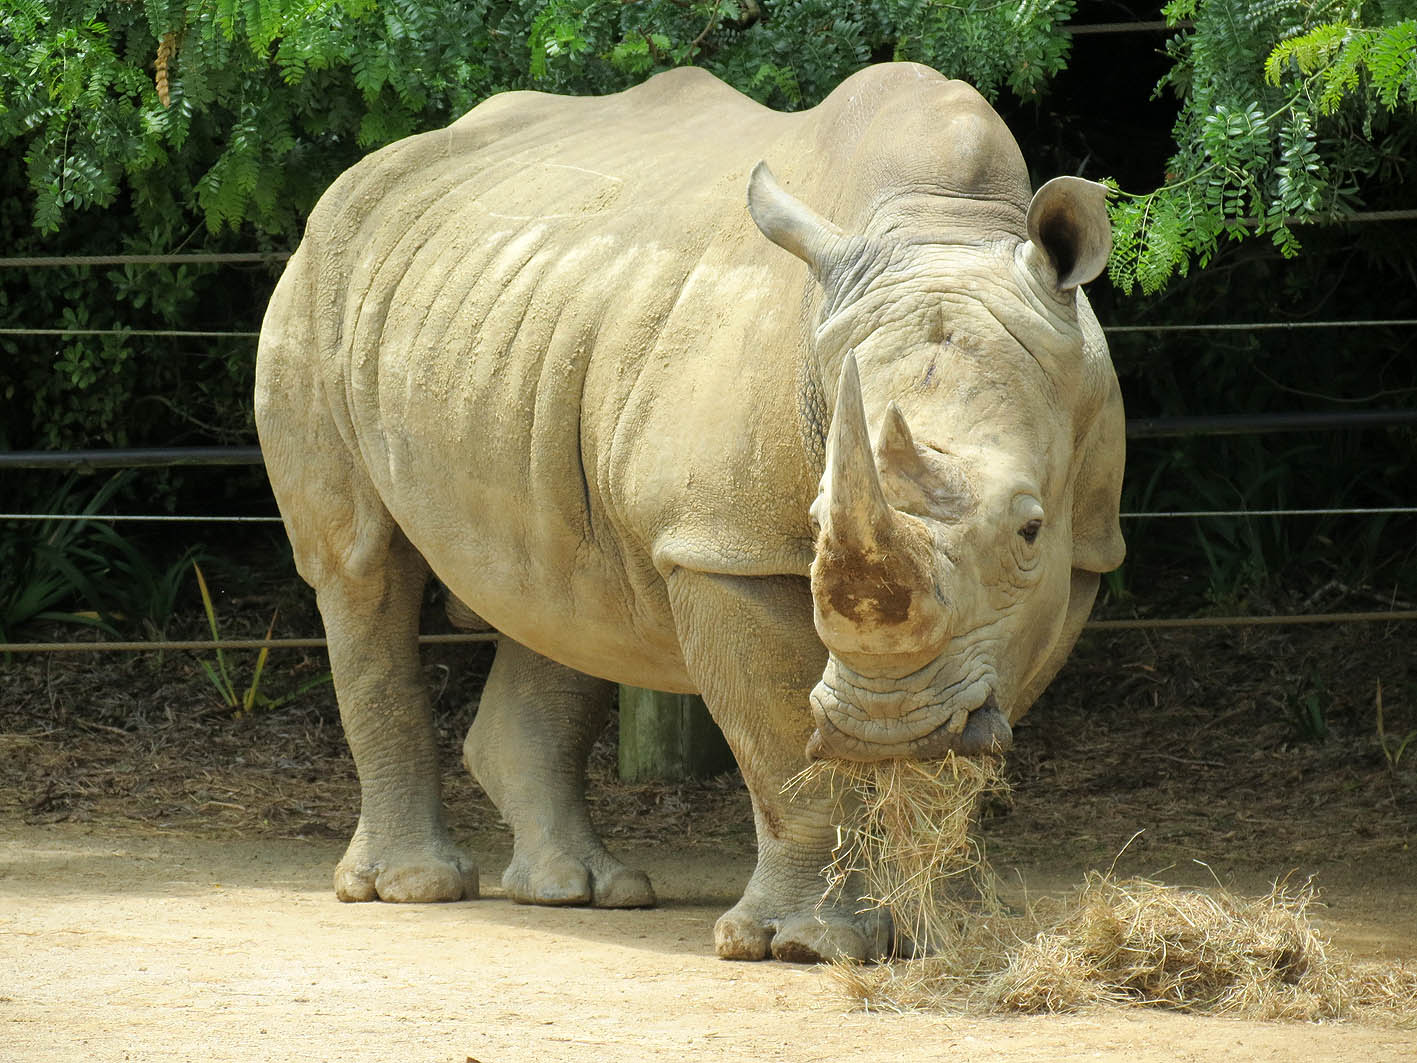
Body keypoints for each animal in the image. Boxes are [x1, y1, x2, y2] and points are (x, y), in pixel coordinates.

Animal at [255, 62, 1125, 963]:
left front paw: (937, 928)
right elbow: (781, 746)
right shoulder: (722, 545)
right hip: (318, 280)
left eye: (1028, 529)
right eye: (816, 523)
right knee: (360, 566)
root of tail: (362, 176)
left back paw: (580, 890)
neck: (942, 229)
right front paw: (801, 943)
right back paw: (414, 885)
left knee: (562, 591)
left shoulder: (1081, 554)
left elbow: (965, 741)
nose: (879, 724)